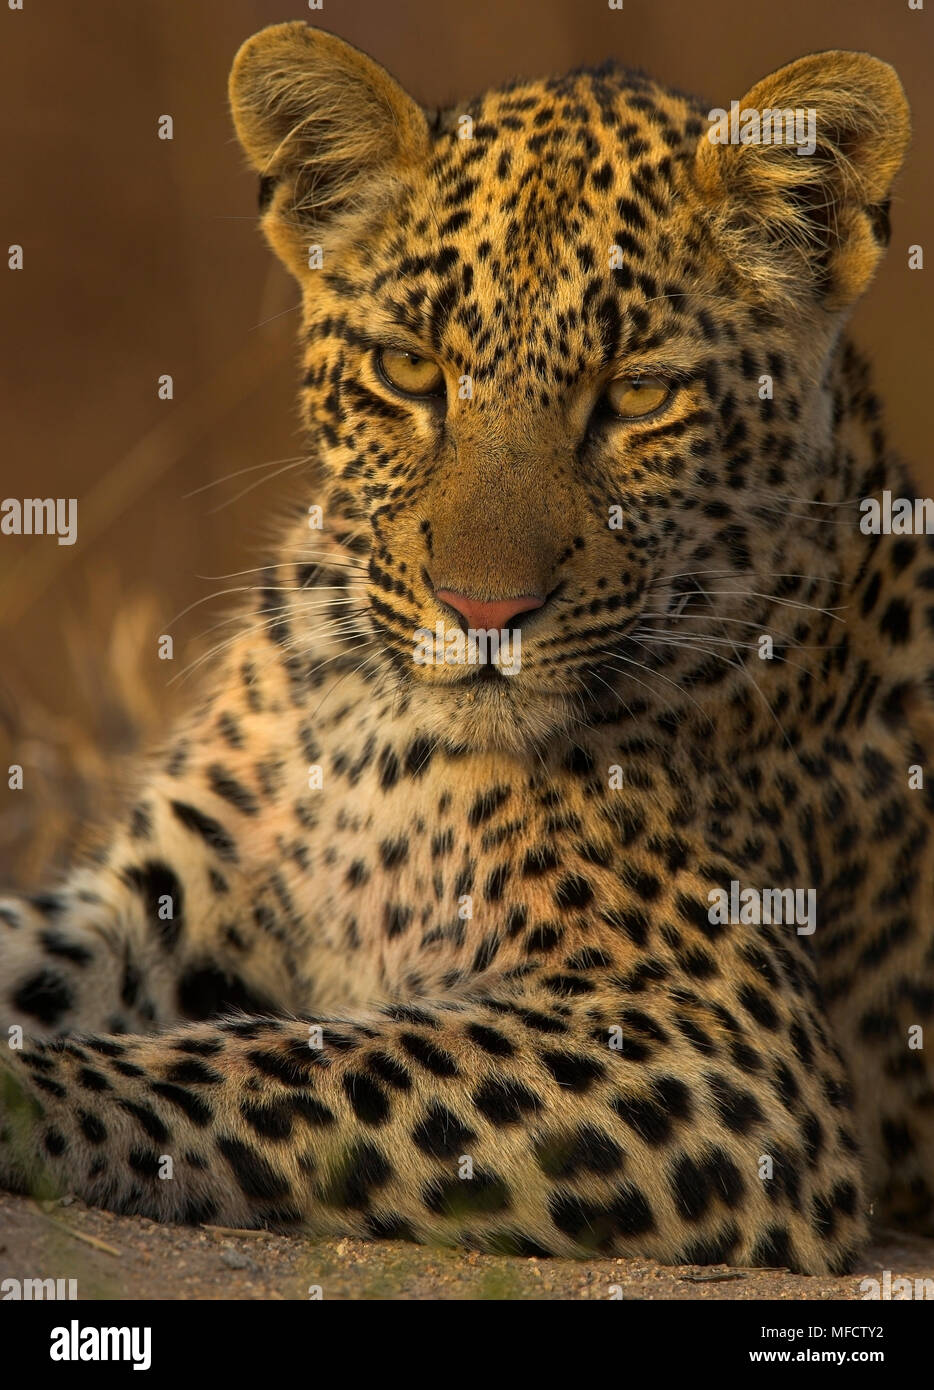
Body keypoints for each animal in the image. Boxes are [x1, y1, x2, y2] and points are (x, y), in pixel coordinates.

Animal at [0, 20, 930, 1278]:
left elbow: (285, 1062)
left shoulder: (720, 1043)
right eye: (409, 371)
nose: (481, 612)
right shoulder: (160, 899)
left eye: (639, 394)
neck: (371, 720)